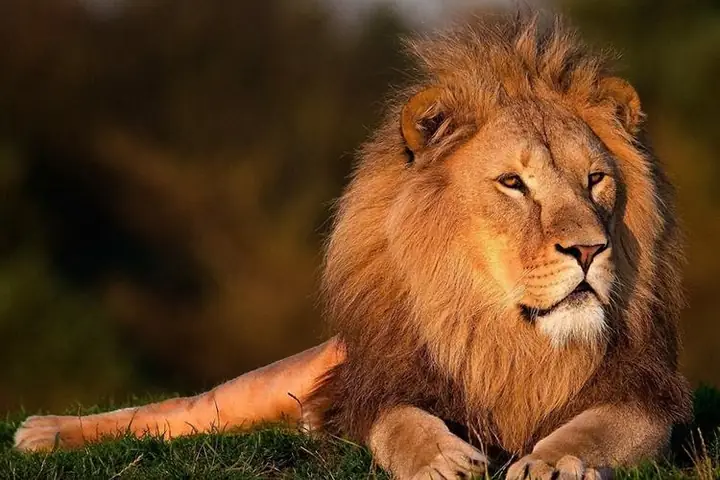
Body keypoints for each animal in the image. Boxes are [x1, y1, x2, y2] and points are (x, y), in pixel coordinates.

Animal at [14, 15, 691, 480]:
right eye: (513, 184)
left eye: (596, 179)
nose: (590, 250)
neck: (505, 338)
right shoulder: (379, 388)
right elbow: (400, 423)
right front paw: (441, 459)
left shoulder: (644, 398)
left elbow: (597, 429)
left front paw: (553, 461)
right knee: (179, 411)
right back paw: (40, 432)